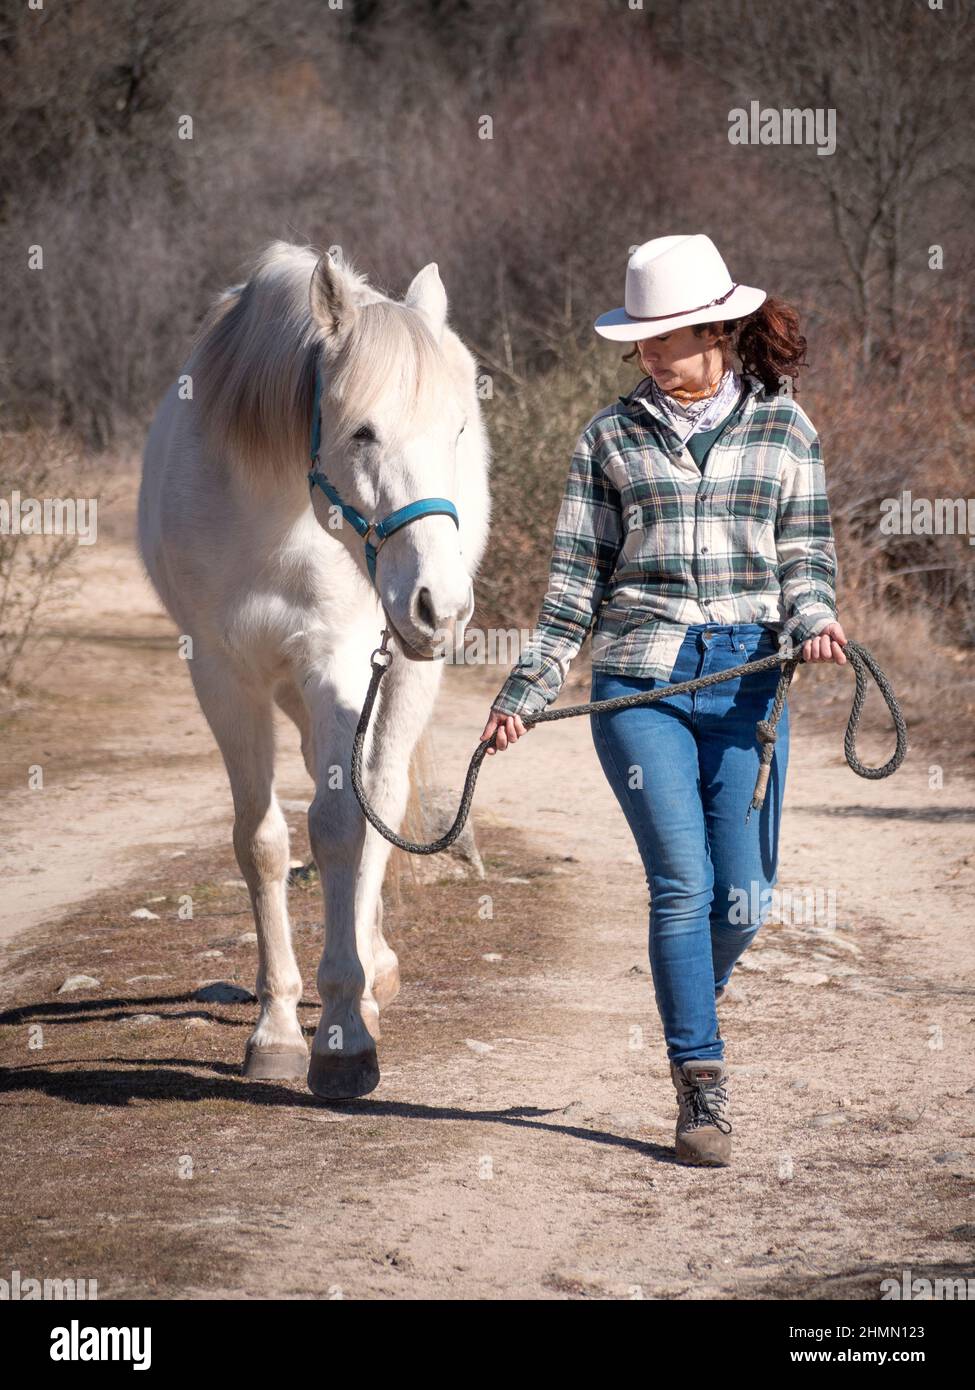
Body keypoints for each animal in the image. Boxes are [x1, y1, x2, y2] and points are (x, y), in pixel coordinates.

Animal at [138, 241, 491, 1098]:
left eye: (456, 429)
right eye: (361, 431)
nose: (439, 606)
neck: (275, 510)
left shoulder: (339, 664)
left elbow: (339, 828)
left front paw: (340, 1034)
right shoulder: (222, 675)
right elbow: (261, 842)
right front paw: (274, 1030)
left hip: (401, 670)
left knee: (381, 796)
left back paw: (368, 979)